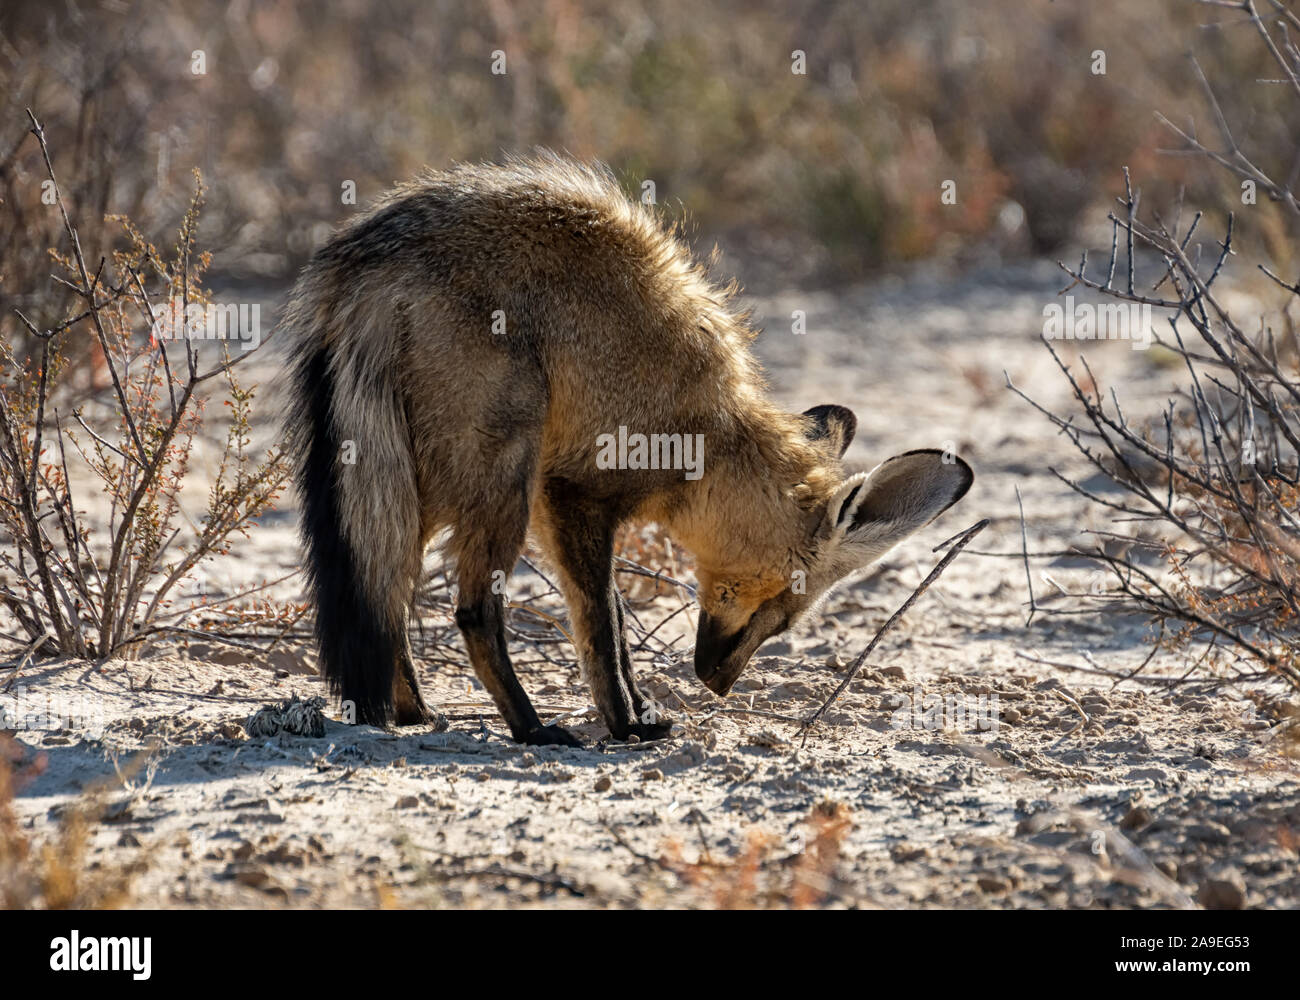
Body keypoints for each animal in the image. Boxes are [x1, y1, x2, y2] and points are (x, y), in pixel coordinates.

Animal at [281, 153, 973, 747]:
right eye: (784, 609)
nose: (718, 683)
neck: (710, 429)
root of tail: (367, 256)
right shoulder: (573, 491)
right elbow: (603, 628)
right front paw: (624, 725)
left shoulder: (557, 502)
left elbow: (610, 617)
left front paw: (638, 708)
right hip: (497, 477)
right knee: (472, 610)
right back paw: (531, 730)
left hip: (409, 488)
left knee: (386, 595)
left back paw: (414, 713)